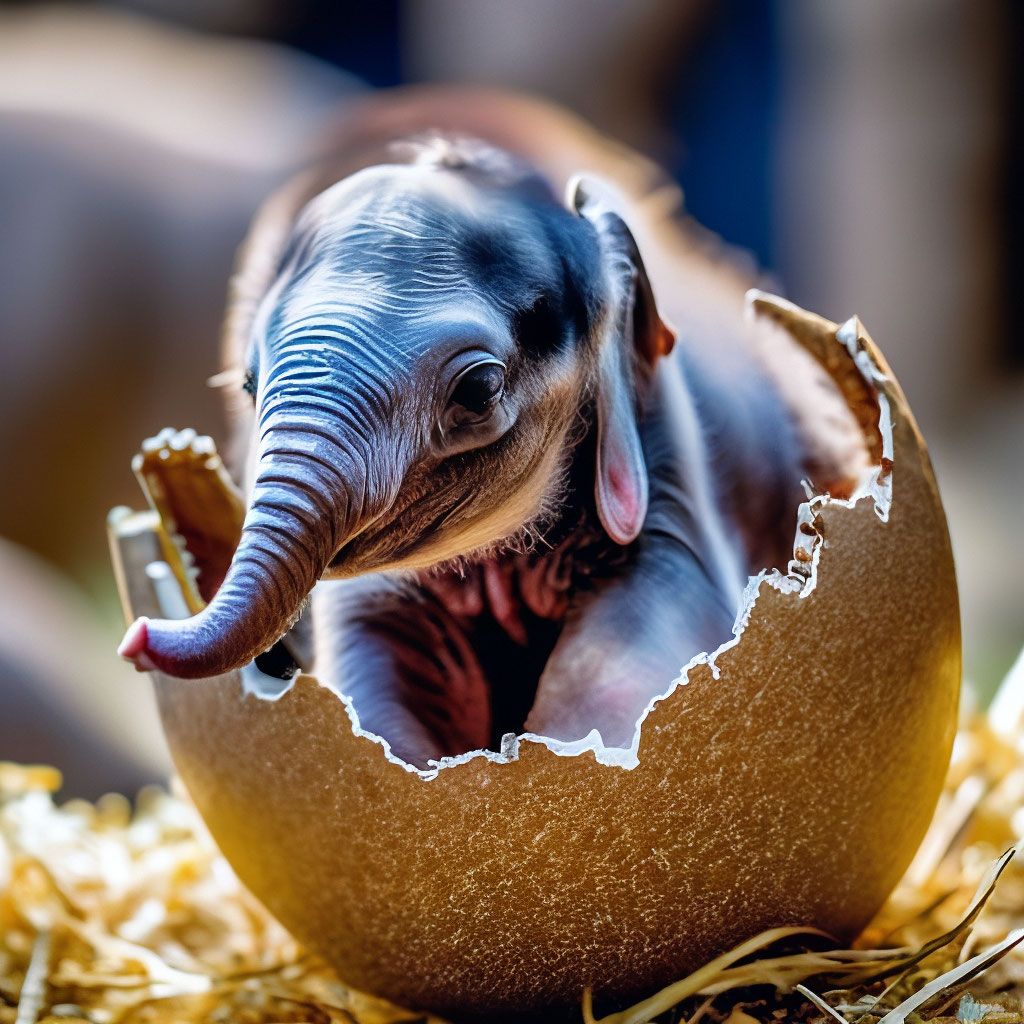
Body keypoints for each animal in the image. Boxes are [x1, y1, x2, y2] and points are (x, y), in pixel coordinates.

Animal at [118, 88, 866, 767]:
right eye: (248, 385)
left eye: (478, 389)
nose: (139, 636)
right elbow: (373, 676)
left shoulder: (666, 469)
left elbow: (625, 671)